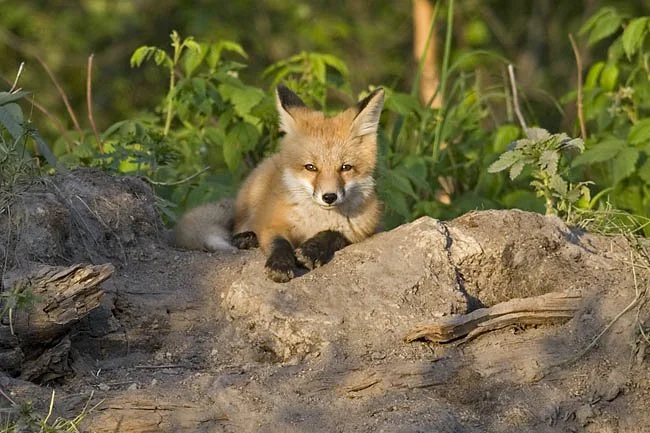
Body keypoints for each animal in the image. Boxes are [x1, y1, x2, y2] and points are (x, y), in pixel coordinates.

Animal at [170, 85, 385, 282]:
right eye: (311, 167)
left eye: (346, 168)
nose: (329, 197)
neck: (316, 220)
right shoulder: (274, 223)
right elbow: (279, 244)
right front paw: (280, 264)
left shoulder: (362, 230)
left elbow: (332, 234)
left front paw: (311, 251)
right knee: (237, 227)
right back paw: (245, 239)